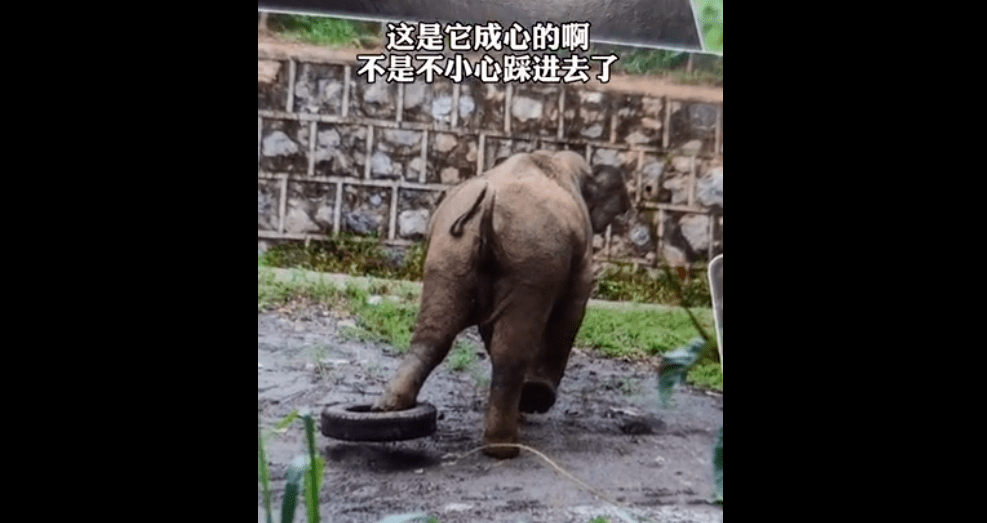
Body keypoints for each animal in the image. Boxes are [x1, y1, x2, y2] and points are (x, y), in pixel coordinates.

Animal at [372, 149, 632, 458]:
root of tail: (486, 206)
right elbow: (572, 310)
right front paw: (536, 397)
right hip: (529, 260)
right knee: (510, 350)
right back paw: (505, 448)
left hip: (448, 253)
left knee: (433, 337)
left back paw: (387, 408)